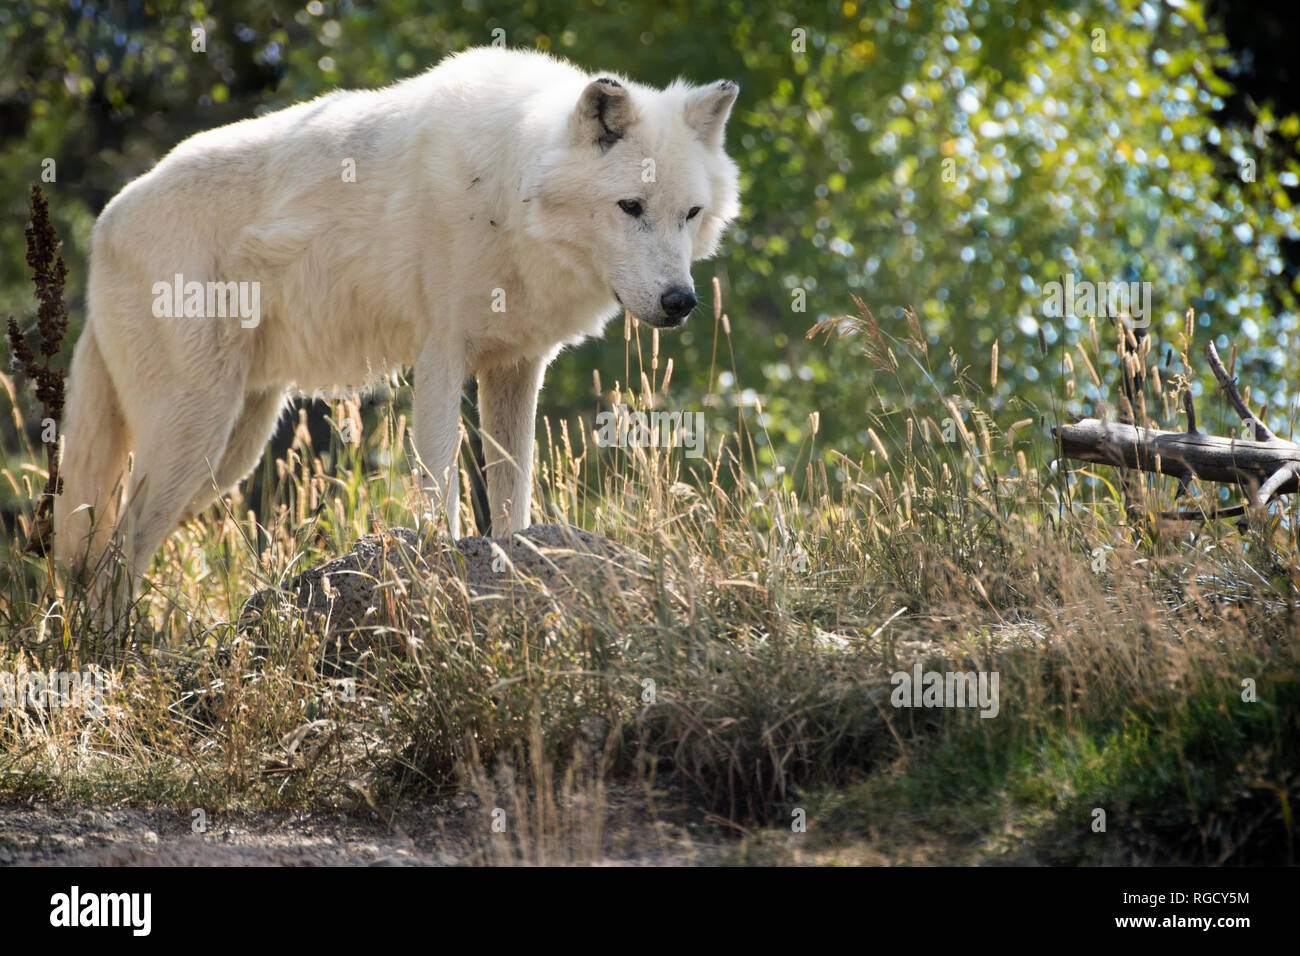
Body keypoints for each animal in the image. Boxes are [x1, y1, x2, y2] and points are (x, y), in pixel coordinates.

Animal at [52, 47, 740, 607]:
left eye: (690, 213)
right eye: (630, 206)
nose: (681, 301)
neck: (508, 190)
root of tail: (104, 224)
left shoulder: (516, 367)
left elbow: (512, 497)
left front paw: (514, 563)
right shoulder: (441, 356)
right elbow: (443, 489)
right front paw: (444, 571)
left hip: (231, 449)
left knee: (110, 553)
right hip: (195, 435)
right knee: (114, 553)